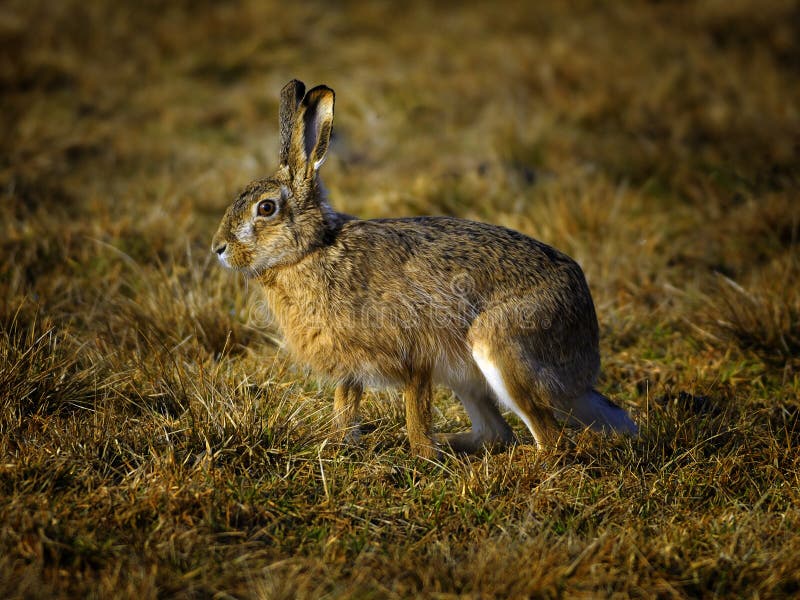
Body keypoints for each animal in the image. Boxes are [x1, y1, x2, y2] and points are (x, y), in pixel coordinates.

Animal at [211, 79, 637, 459]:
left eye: (266, 208)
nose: (219, 248)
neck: (313, 250)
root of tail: (584, 367)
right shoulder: (350, 369)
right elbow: (345, 405)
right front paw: (340, 444)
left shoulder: (413, 356)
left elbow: (414, 410)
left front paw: (419, 454)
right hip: (467, 377)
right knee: (495, 432)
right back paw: (450, 446)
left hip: (502, 346)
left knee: (551, 440)